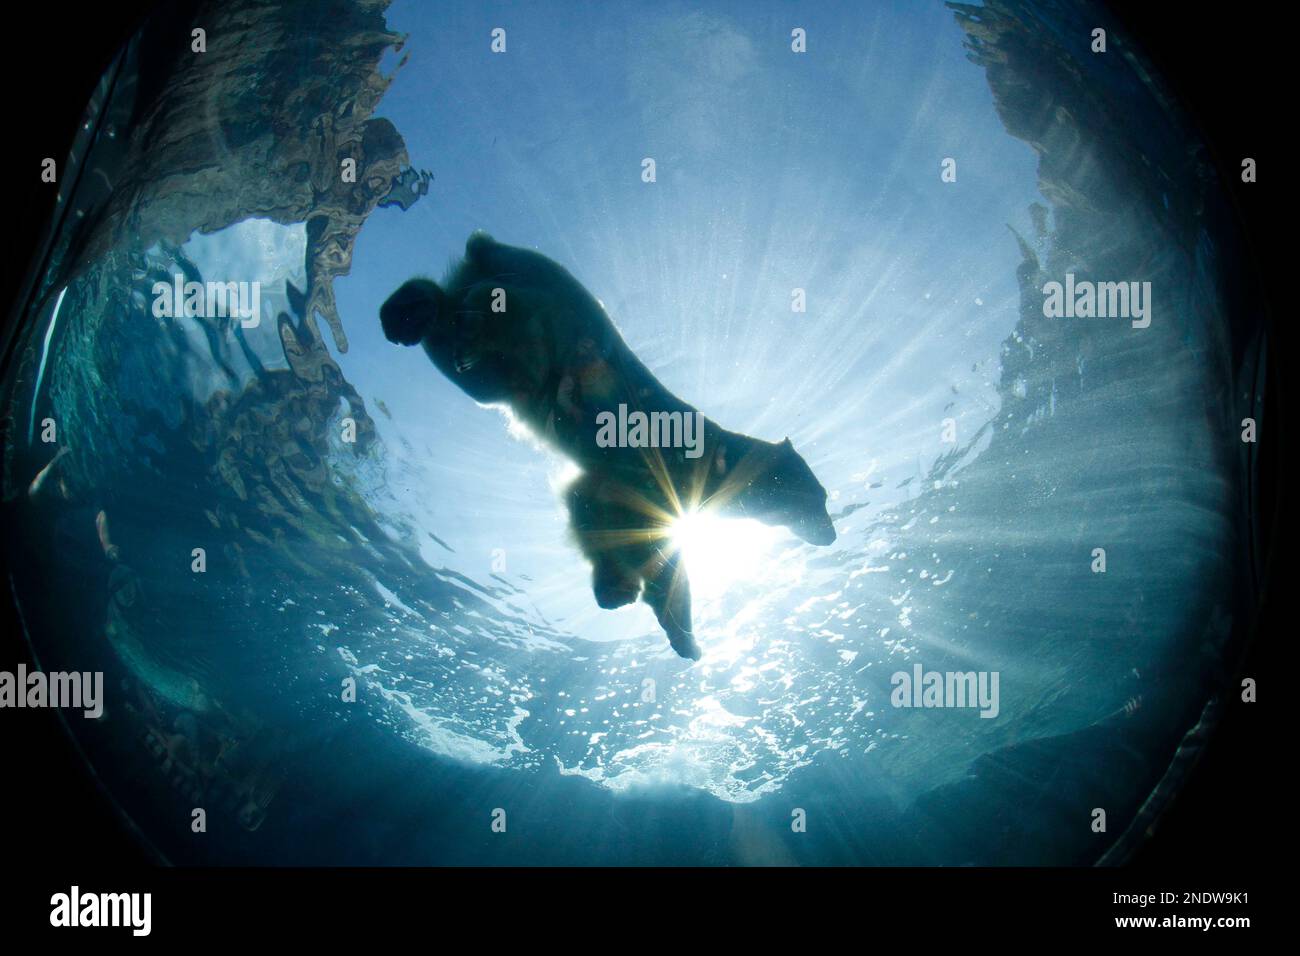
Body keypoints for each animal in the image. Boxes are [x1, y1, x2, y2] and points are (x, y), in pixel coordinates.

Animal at [380, 232, 835, 660]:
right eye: (819, 496)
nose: (831, 535)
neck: (713, 461)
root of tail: (491, 249)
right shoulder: (661, 465)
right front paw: (683, 635)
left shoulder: (633, 485)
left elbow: (603, 514)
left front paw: (625, 596)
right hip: (543, 313)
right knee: (496, 342)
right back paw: (416, 316)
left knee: (472, 363)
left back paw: (408, 312)